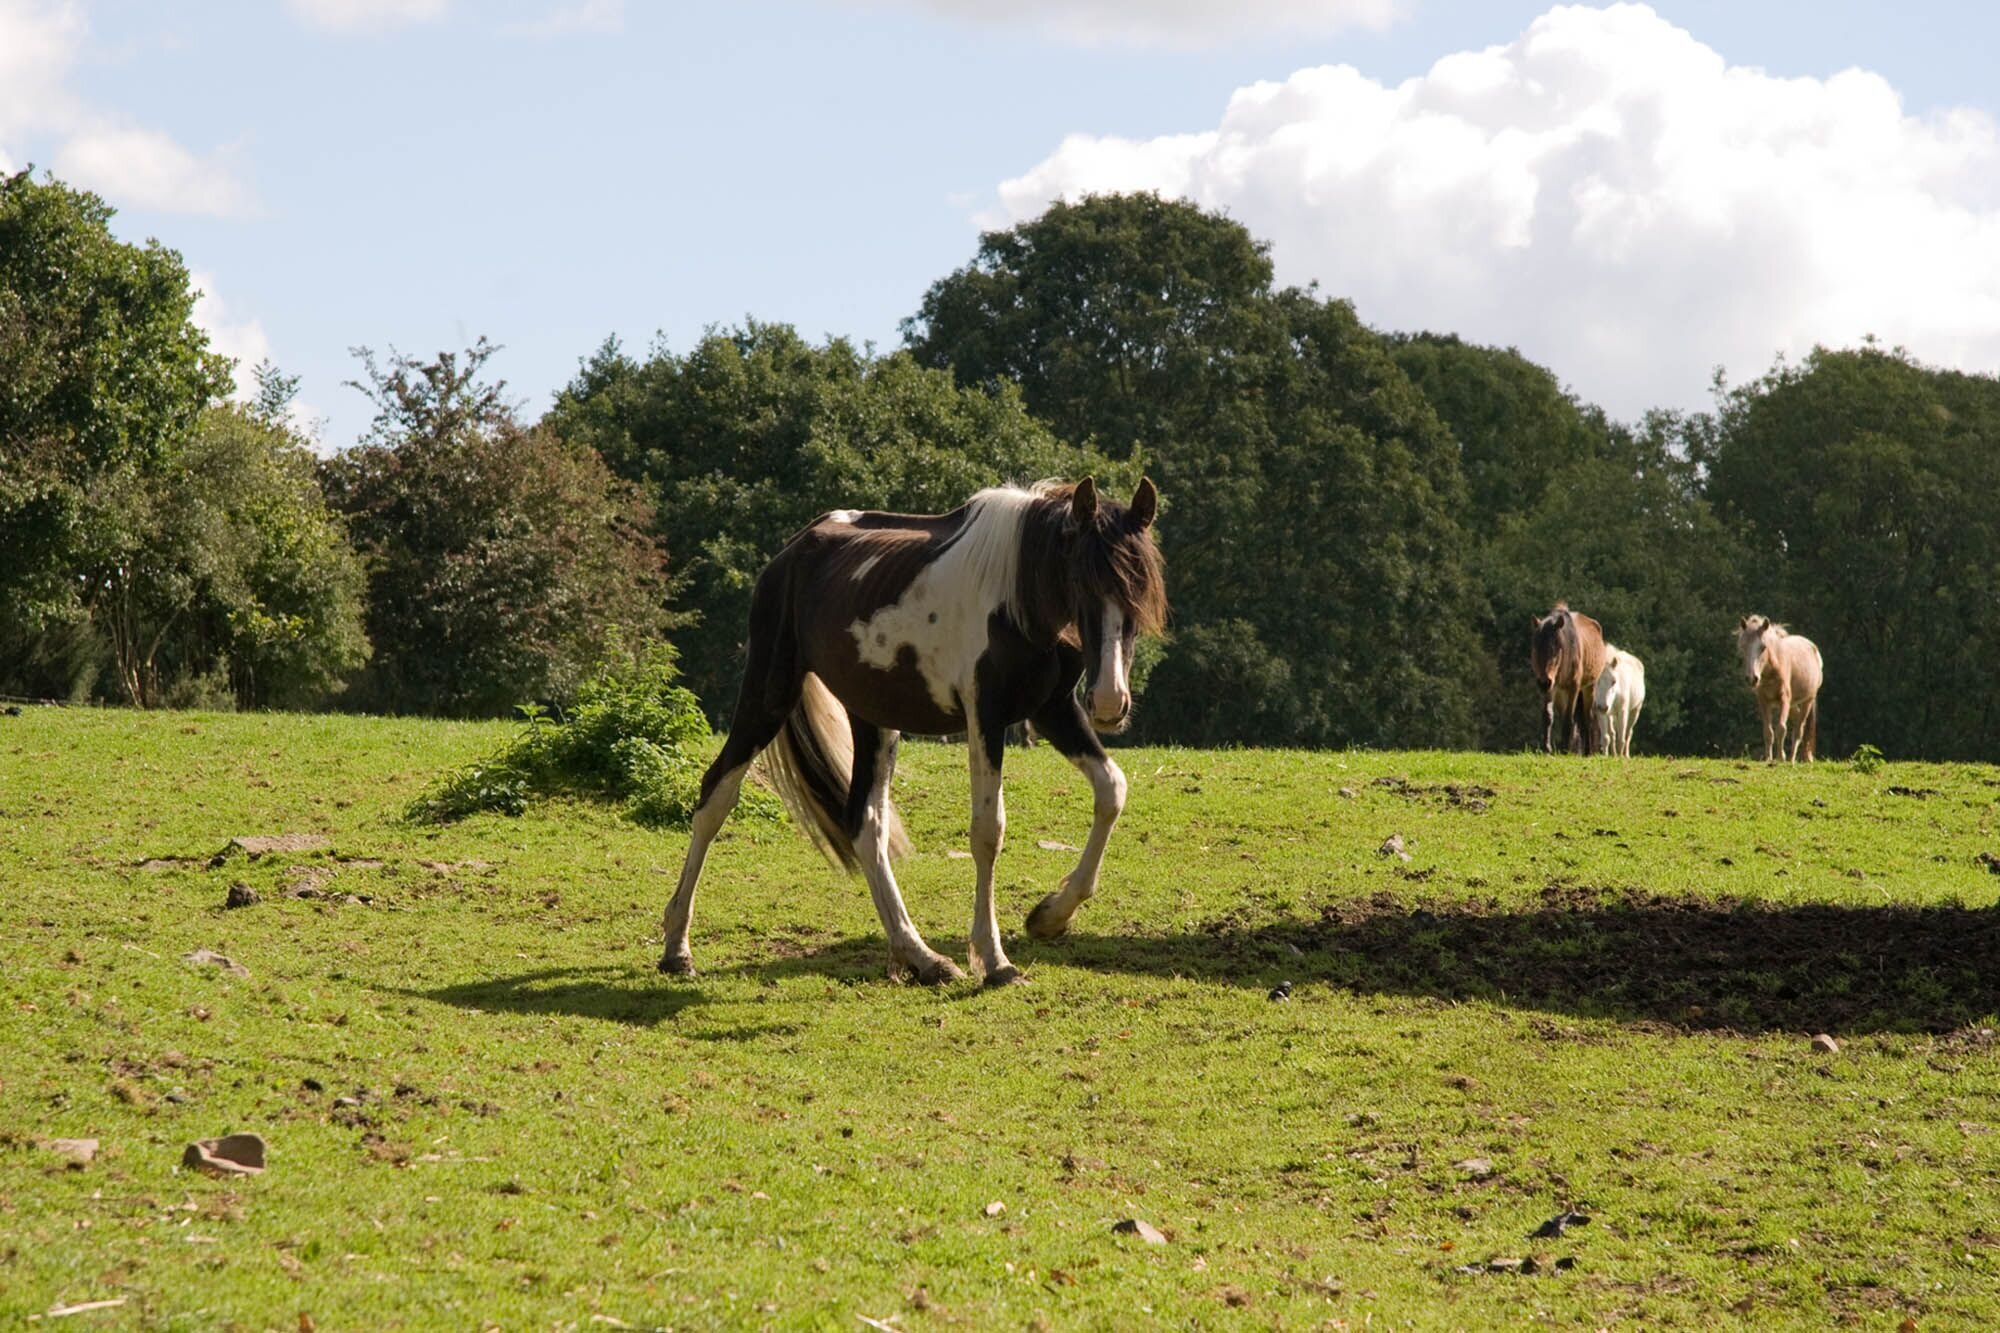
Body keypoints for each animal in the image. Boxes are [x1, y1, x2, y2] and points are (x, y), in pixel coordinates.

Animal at [658, 477, 1166, 987]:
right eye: (1080, 581)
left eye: (1141, 588)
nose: (1109, 703)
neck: (1019, 592)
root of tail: (792, 551)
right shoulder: (986, 716)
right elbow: (988, 831)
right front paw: (995, 961)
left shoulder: (1053, 709)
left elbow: (1112, 789)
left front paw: (1050, 916)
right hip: (768, 694)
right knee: (716, 797)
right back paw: (676, 949)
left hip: (873, 717)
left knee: (866, 823)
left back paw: (921, 957)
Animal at [1529, 603, 1607, 755]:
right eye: (1535, 648)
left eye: (1555, 649)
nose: (1544, 682)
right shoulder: (1551, 689)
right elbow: (1548, 715)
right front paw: (1547, 748)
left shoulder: (1573, 688)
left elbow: (1568, 718)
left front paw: (1564, 748)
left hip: (1589, 687)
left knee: (1587, 717)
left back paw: (1587, 751)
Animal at [1736, 615, 1822, 762]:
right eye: (1743, 647)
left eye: (1763, 647)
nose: (1752, 678)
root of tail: (1813, 649)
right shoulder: (1764, 701)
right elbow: (1768, 732)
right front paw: (1768, 758)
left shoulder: (1784, 700)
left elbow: (1781, 729)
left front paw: (1780, 758)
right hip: (1793, 704)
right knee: (1797, 722)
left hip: (1808, 700)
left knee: (1798, 730)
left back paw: (1792, 759)